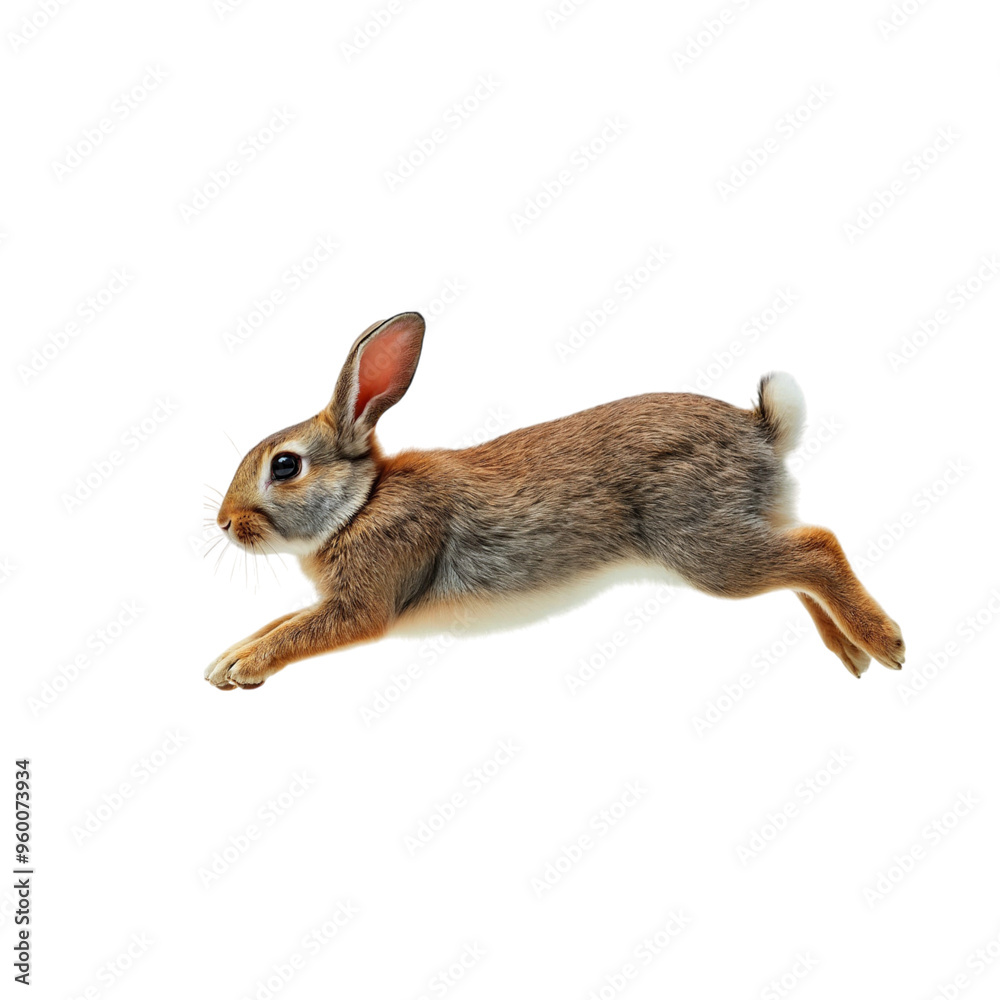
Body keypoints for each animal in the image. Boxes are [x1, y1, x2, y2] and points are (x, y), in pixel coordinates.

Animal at [205, 311, 904, 690]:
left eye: (285, 466)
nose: (225, 523)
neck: (362, 502)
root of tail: (763, 427)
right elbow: (282, 620)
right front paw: (226, 663)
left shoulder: (366, 603)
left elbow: (302, 631)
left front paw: (244, 668)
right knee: (803, 557)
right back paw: (851, 654)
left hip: (707, 548)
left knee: (818, 548)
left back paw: (887, 644)